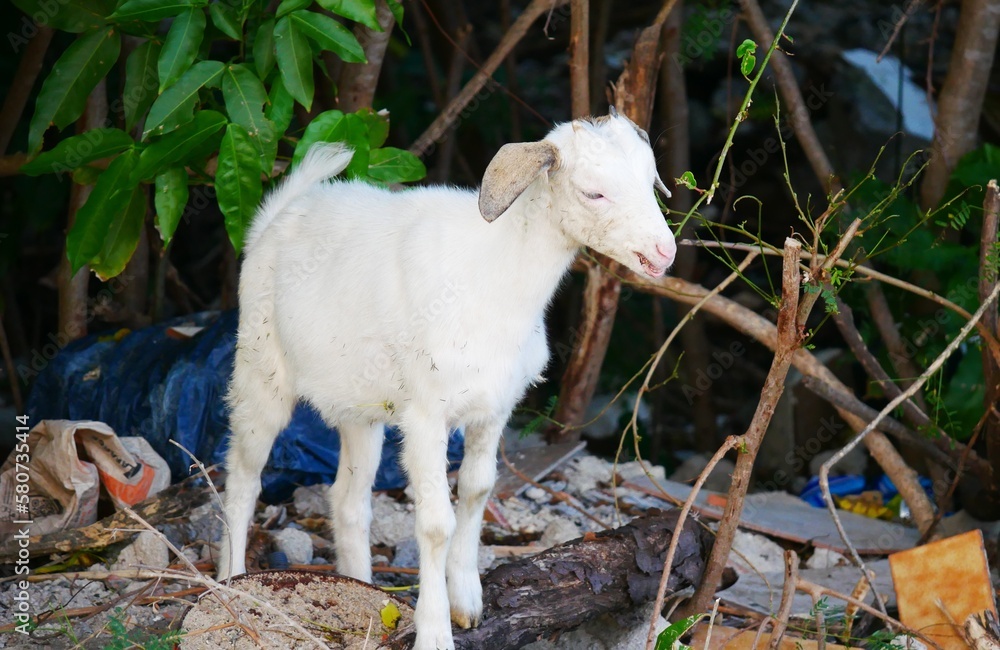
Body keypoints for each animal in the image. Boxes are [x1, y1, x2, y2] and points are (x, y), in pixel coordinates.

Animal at [218, 112, 677, 650]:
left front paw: (467, 600)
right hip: (259, 367)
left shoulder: (494, 408)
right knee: (243, 478)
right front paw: (434, 630)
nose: (664, 252)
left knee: (348, 500)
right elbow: (436, 523)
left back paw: (361, 592)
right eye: (593, 193)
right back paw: (228, 583)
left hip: (360, 405)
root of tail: (280, 211)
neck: (496, 274)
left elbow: (478, 490)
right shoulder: (425, 413)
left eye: (649, 180)